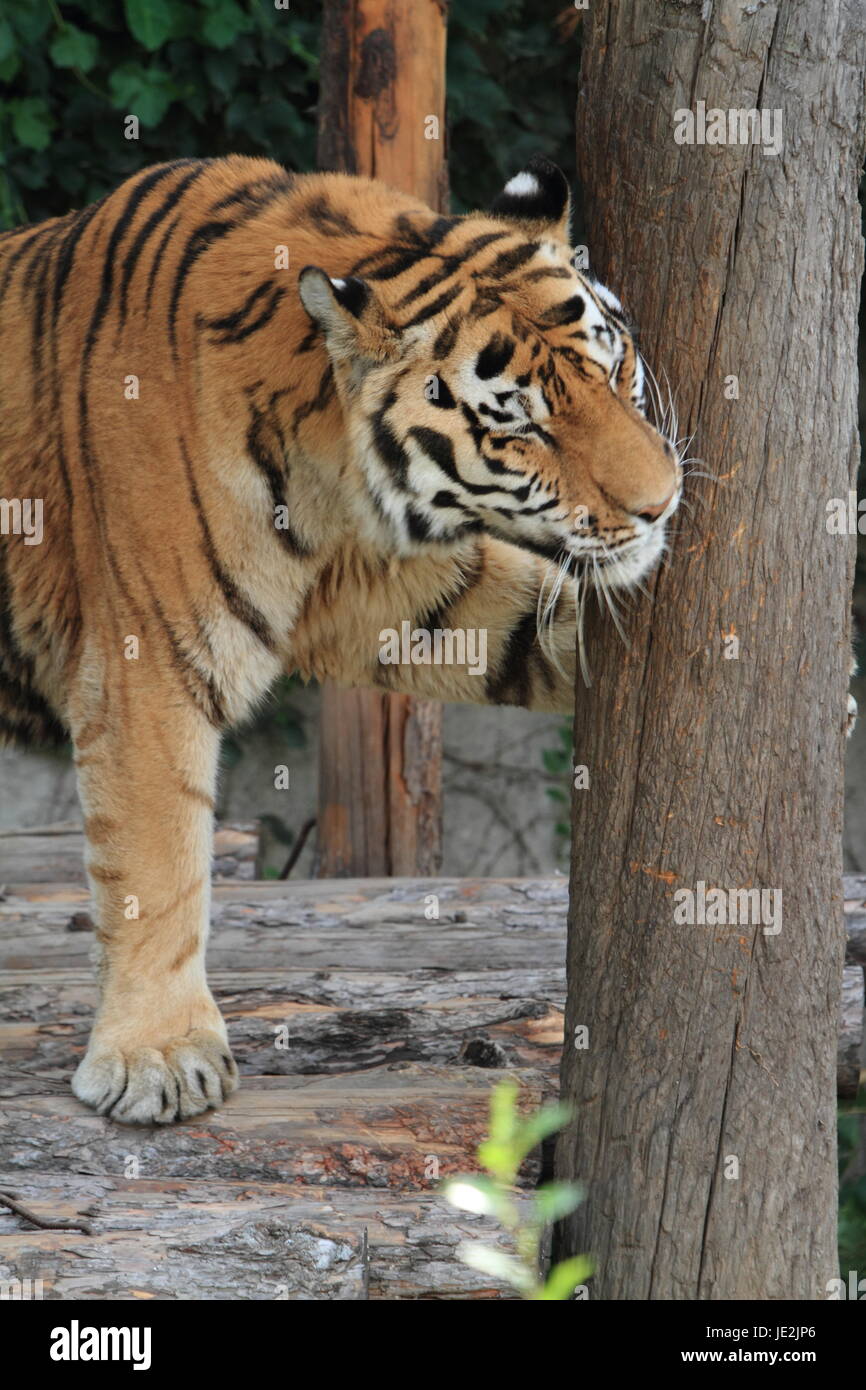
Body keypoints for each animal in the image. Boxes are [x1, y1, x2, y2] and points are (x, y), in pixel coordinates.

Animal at [0, 154, 680, 1124]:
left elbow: (536, 622)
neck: (325, 477)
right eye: (519, 423)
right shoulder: (148, 662)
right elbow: (157, 860)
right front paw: (158, 1058)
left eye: (617, 367)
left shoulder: (404, 591)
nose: (662, 504)